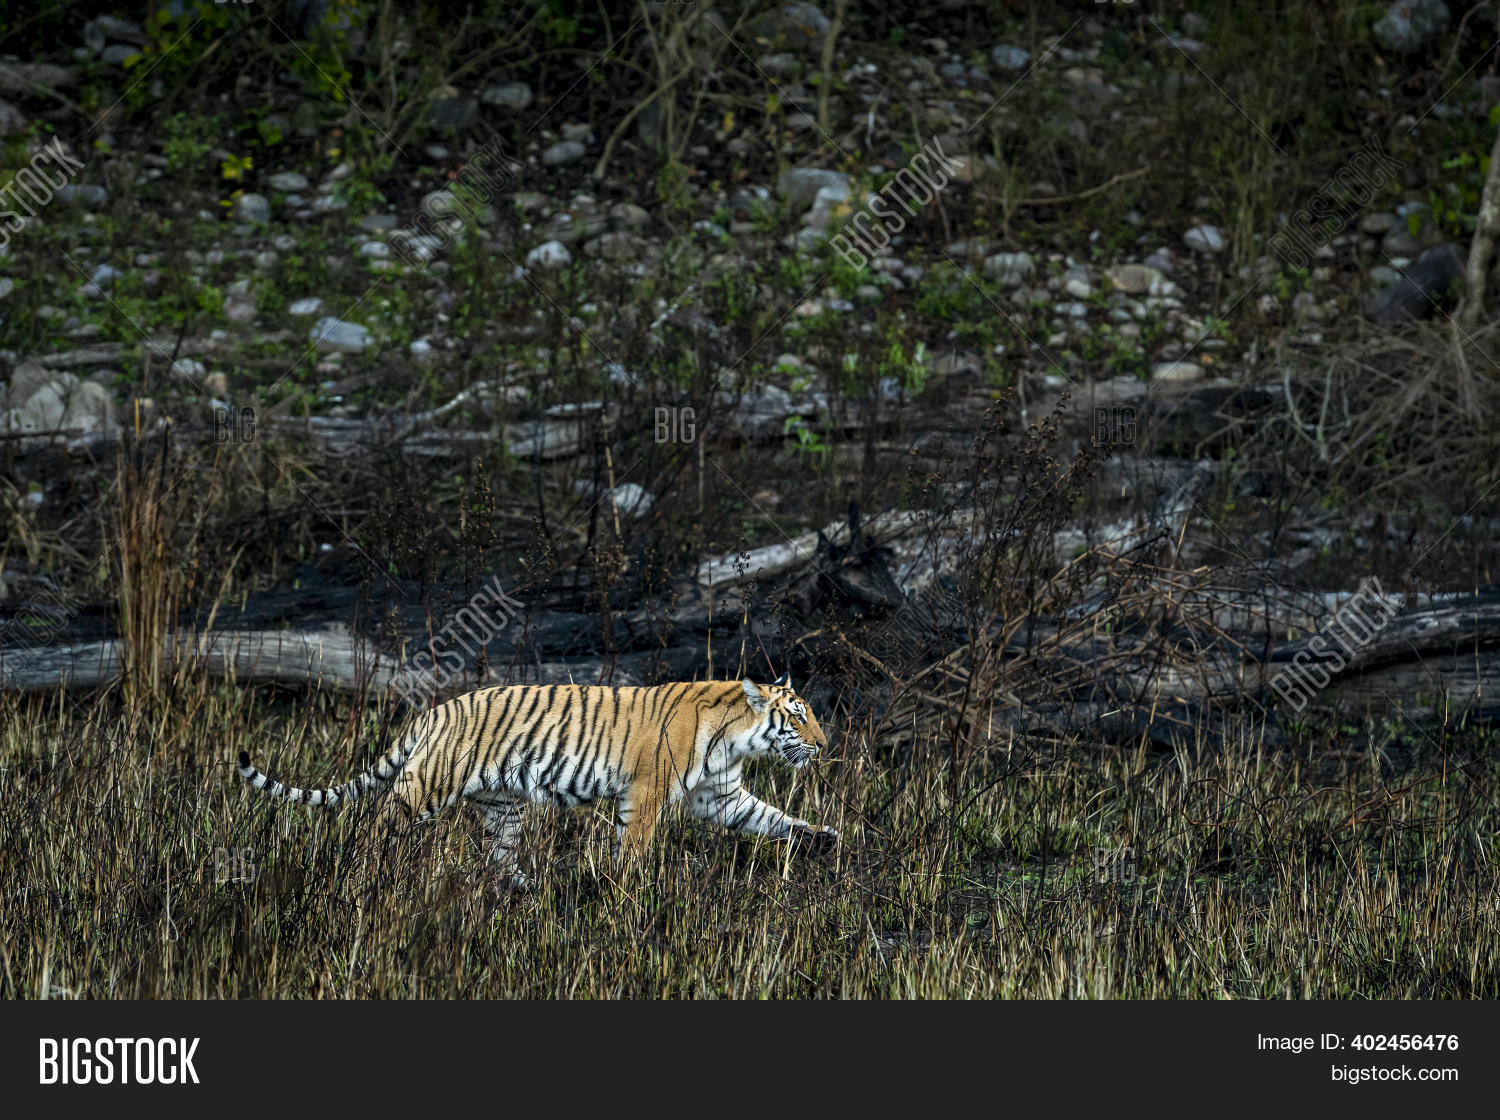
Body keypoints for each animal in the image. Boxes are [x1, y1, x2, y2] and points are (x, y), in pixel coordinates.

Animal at [237, 674, 838, 886]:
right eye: (799, 715)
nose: (825, 743)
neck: (735, 737)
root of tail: (436, 711)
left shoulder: (721, 795)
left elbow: (770, 817)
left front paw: (822, 838)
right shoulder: (646, 792)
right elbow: (633, 847)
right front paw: (627, 892)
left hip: (502, 805)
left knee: (498, 858)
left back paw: (525, 891)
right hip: (426, 785)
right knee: (376, 823)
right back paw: (362, 875)